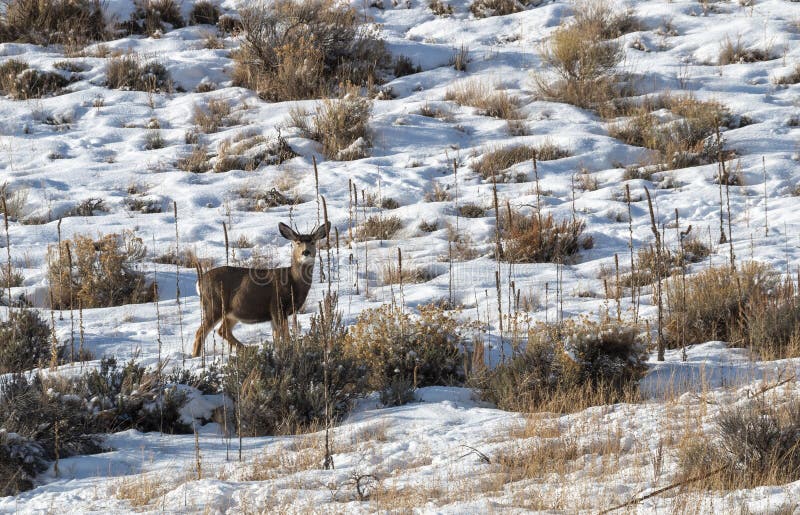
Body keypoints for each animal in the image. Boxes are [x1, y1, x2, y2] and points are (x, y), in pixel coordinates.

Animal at [192, 221, 331, 358]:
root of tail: (199, 282)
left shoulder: (275, 314)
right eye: (297, 242)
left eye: (313, 241)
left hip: (231, 312)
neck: (293, 281)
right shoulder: (277, 306)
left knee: (223, 330)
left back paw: (246, 349)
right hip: (214, 304)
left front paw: (278, 351)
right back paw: (197, 356)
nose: (306, 252)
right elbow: (286, 336)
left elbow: (277, 337)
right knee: (201, 332)